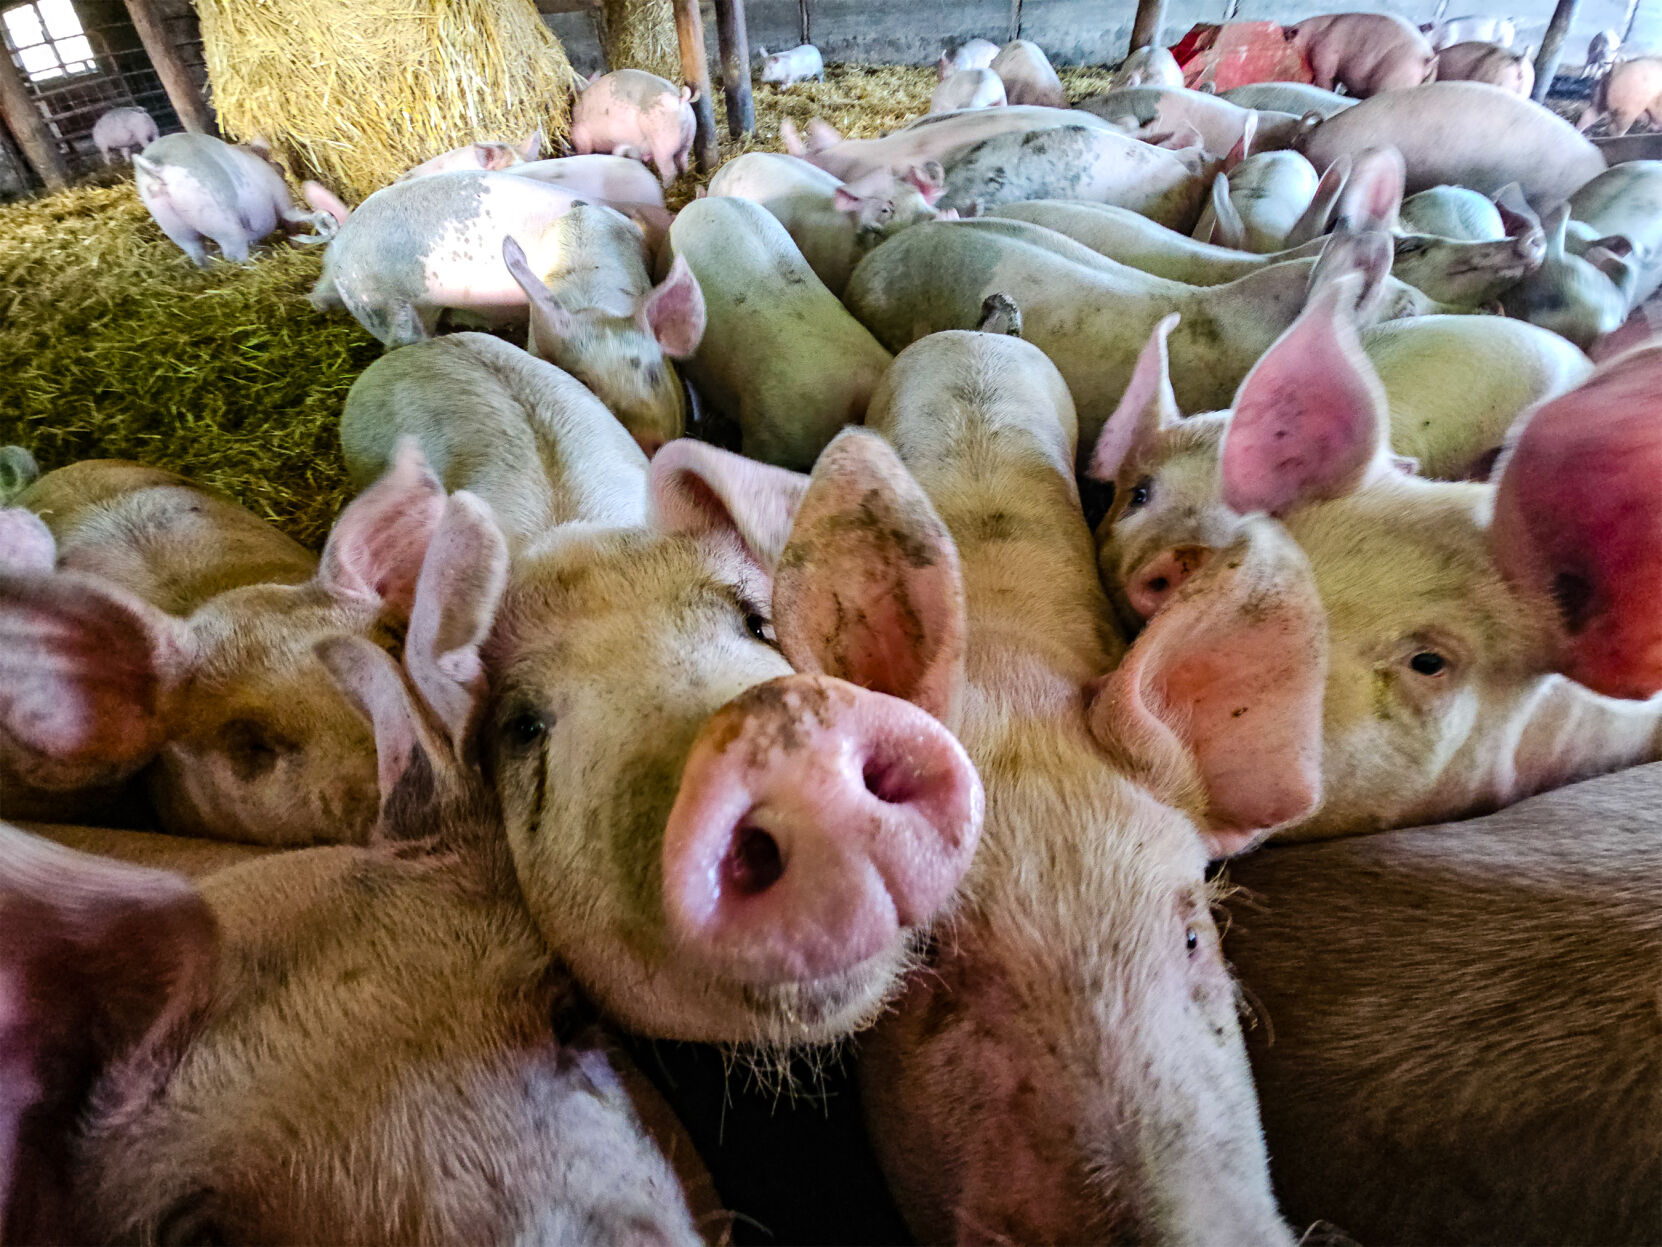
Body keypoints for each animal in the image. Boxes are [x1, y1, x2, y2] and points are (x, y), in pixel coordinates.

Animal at [132, 133, 334, 266]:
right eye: (278, 167)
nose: (280, 167)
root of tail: (156, 169)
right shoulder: (280, 195)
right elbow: (291, 218)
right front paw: (296, 242)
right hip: (221, 222)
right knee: (234, 254)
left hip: (172, 225)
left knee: (198, 254)